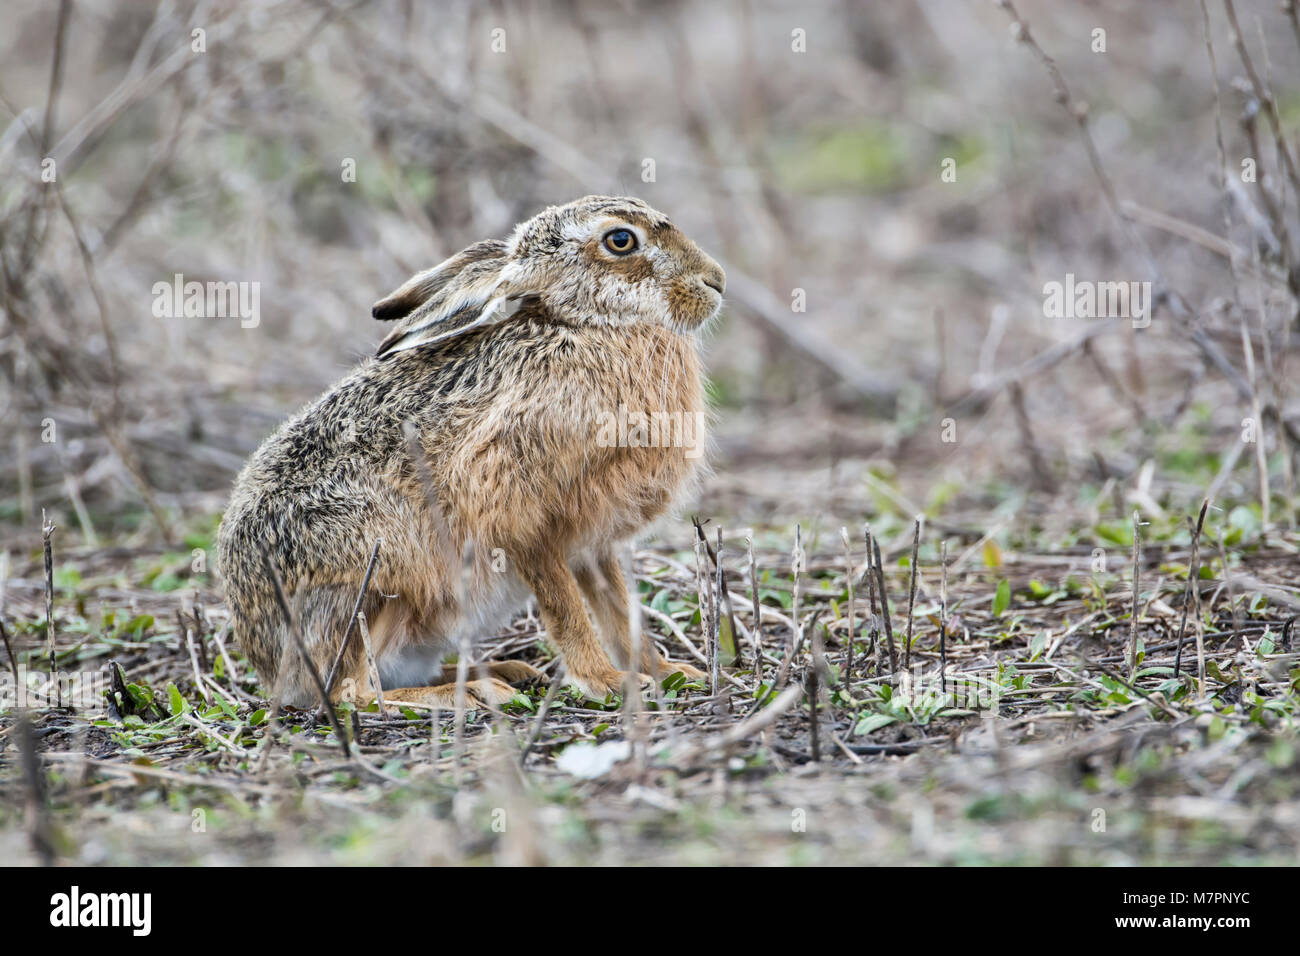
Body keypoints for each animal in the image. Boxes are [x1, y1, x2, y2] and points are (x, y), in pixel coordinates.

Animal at [217, 196, 723, 710]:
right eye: (620, 240)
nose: (716, 280)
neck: (582, 328)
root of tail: (269, 667)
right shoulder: (526, 523)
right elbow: (567, 610)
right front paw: (606, 681)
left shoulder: (593, 540)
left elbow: (620, 611)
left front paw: (667, 672)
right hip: (372, 580)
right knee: (353, 691)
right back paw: (476, 691)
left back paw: (505, 672)